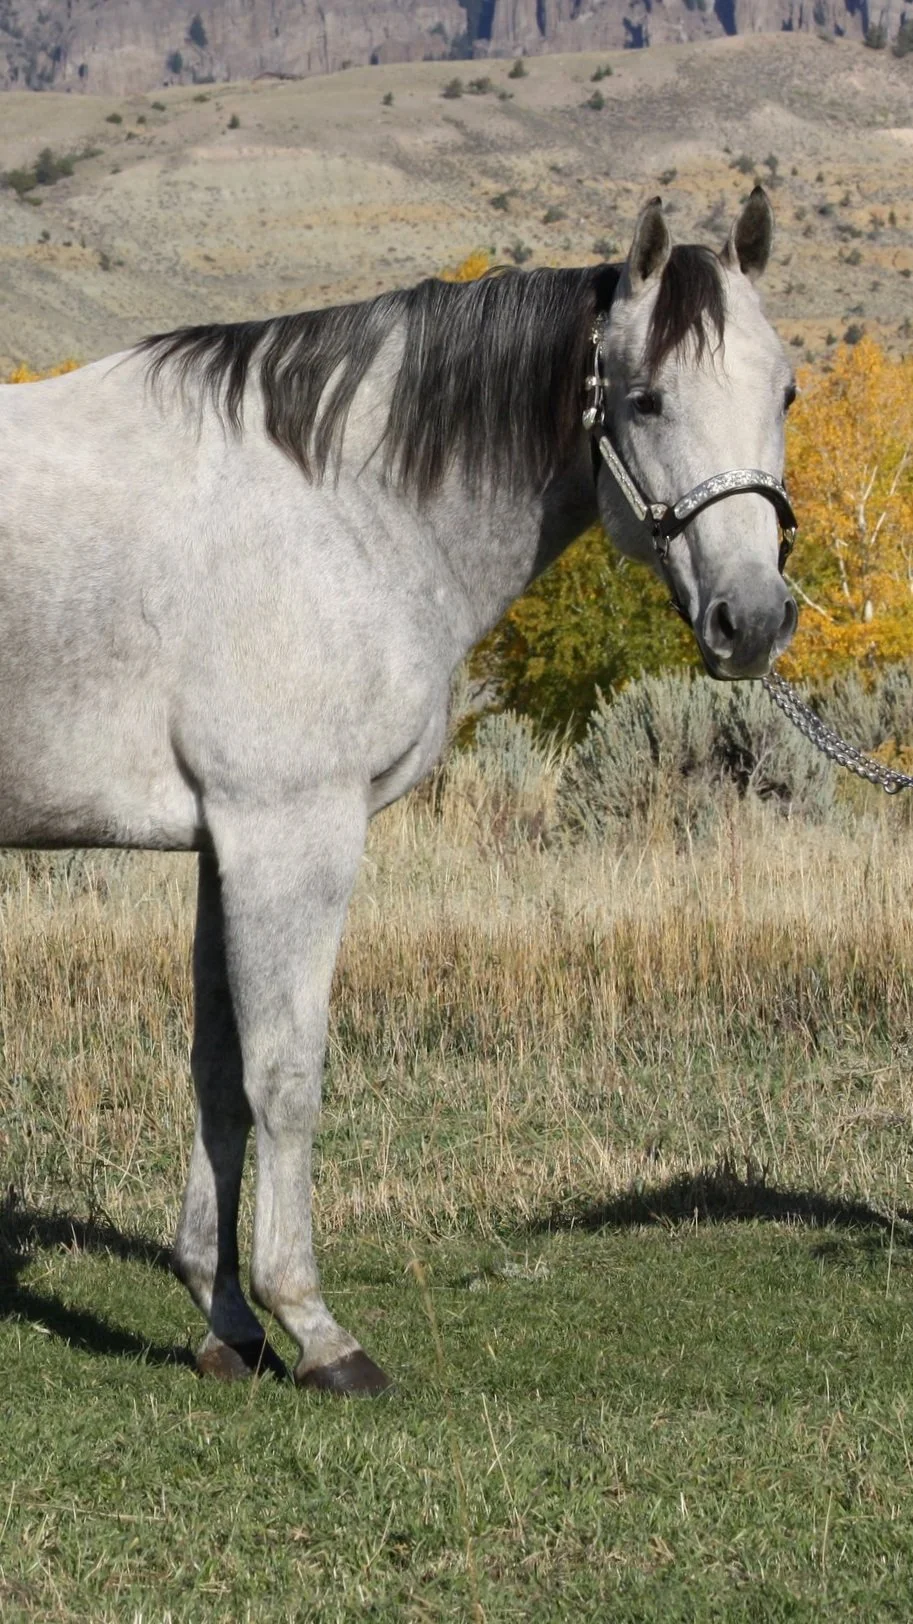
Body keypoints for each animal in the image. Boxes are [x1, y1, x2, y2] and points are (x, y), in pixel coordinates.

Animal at [0, 187, 798, 1394]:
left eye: (785, 389)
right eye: (647, 398)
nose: (751, 620)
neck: (336, 506)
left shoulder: (227, 845)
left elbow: (219, 1073)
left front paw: (228, 1322)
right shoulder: (291, 832)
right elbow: (287, 1073)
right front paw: (315, 1328)